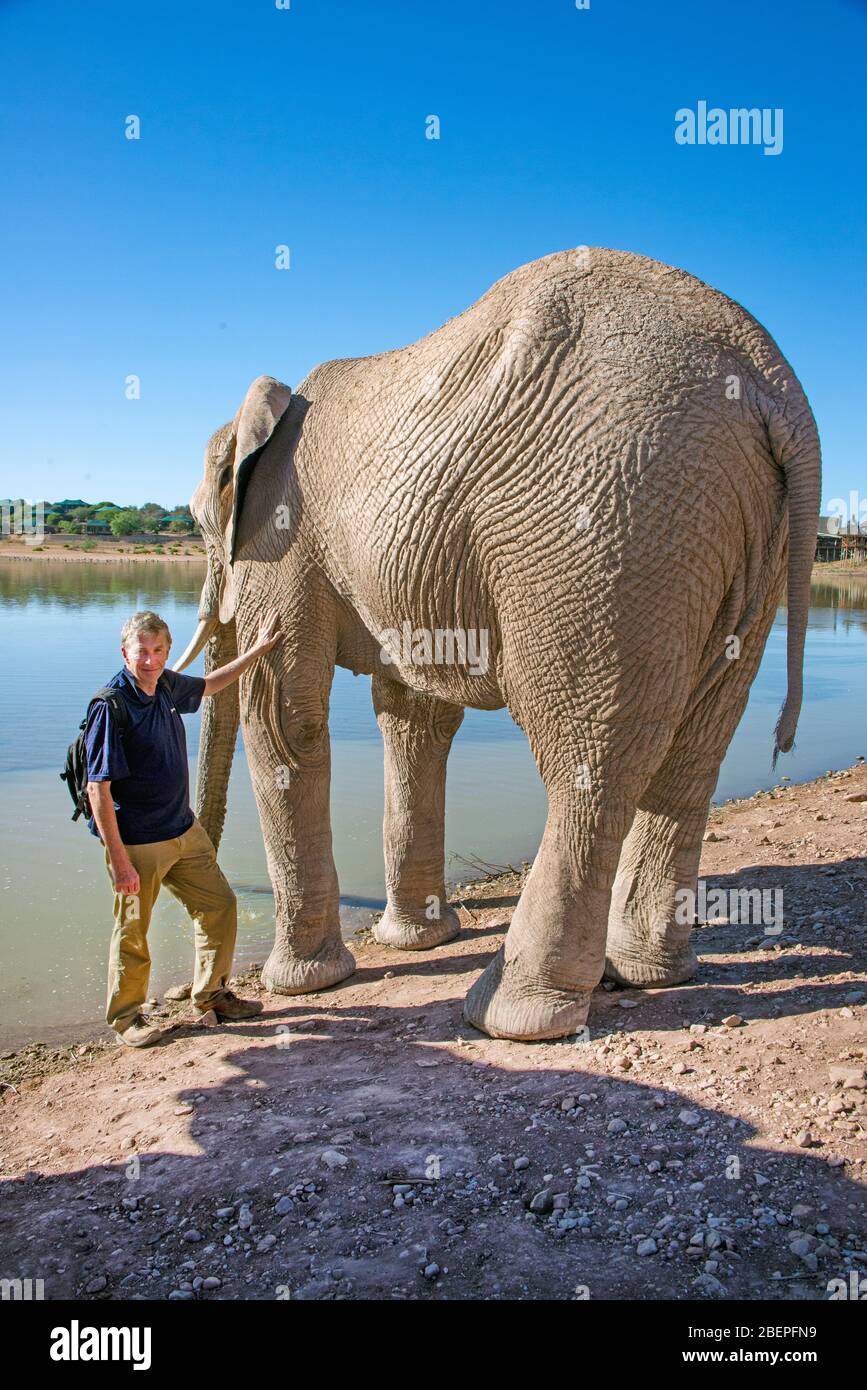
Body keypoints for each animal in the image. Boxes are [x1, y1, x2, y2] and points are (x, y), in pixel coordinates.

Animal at [174, 247, 821, 1042]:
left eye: (203, 528)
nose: (202, 999)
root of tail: (773, 386)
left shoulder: (284, 543)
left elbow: (284, 720)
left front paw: (299, 984)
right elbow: (413, 716)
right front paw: (416, 941)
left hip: (605, 528)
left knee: (588, 761)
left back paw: (508, 1018)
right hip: (736, 537)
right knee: (692, 753)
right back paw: (646, 976)